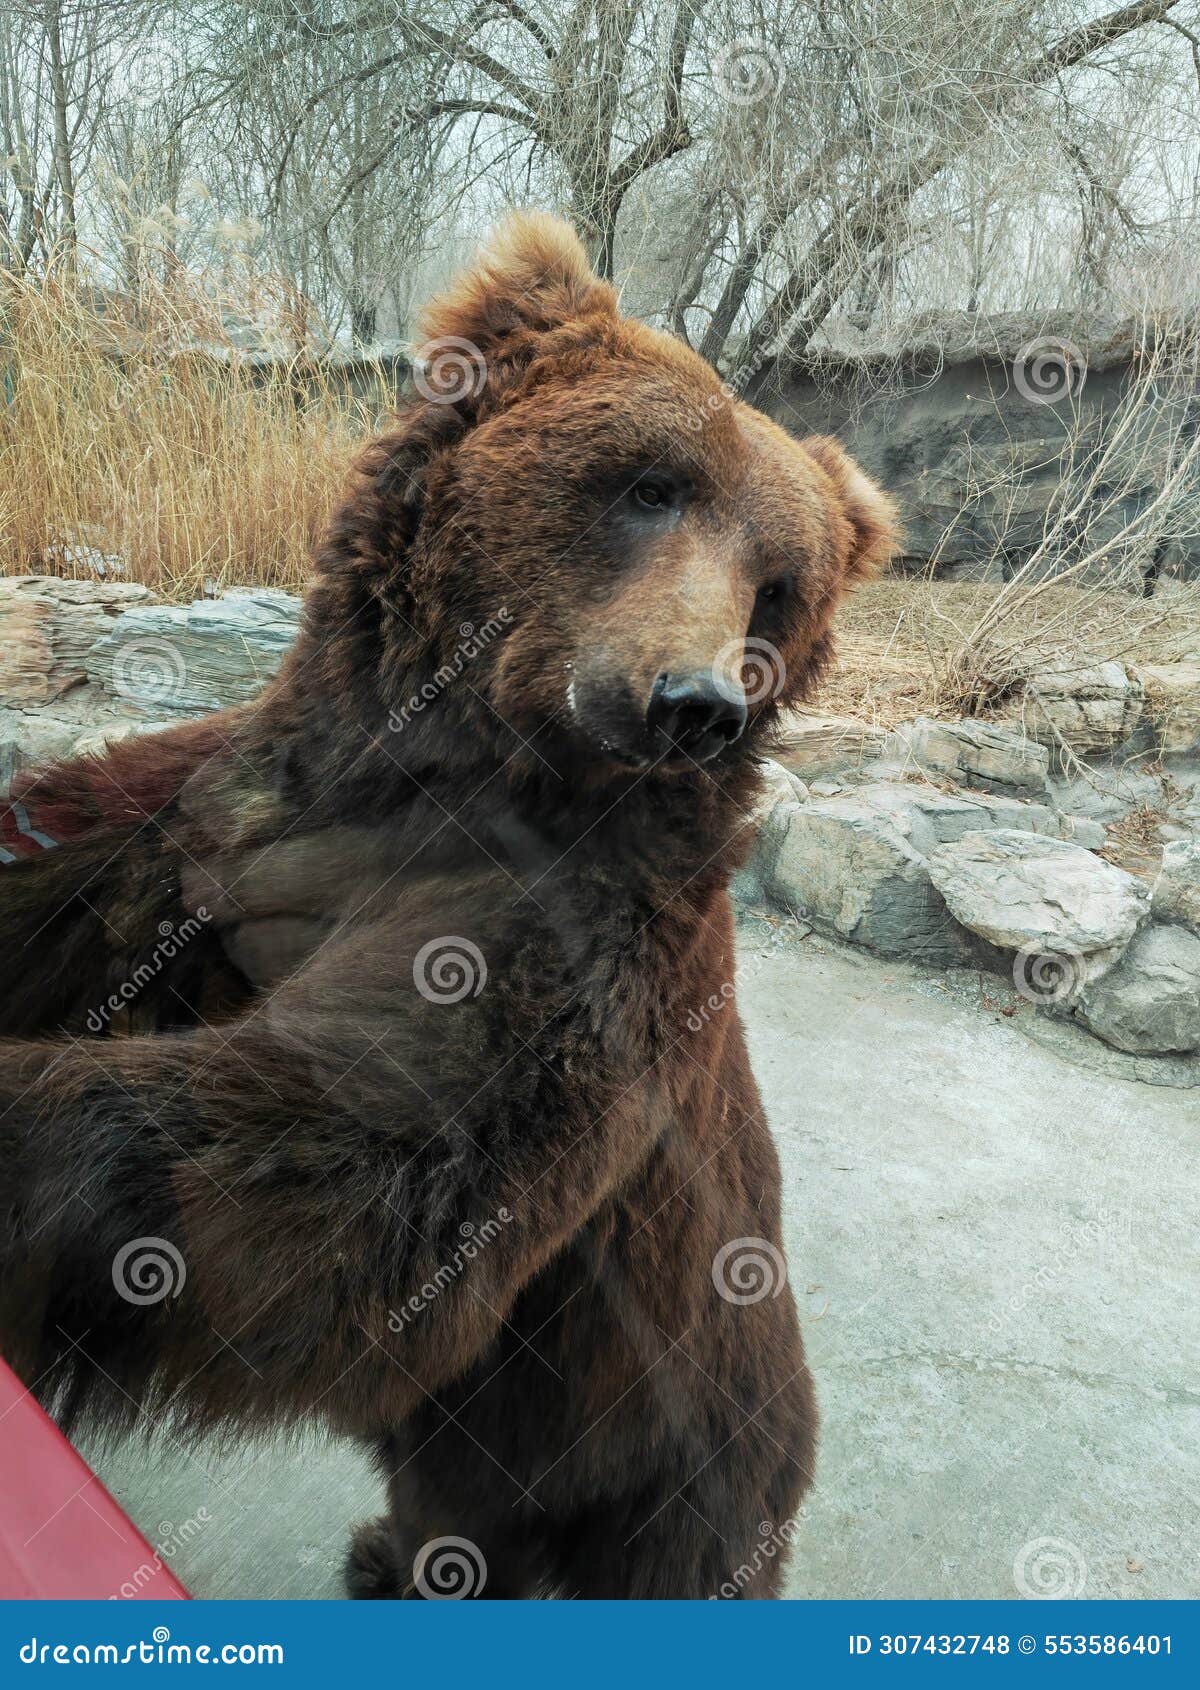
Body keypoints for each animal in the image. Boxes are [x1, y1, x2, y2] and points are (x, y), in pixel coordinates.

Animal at [0, 213, 897, 1599]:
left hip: (677, 1457)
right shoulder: (244, 812)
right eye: (650, 486)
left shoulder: (567, 939)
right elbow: (76, 874)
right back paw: (393, 1558)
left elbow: (334, 1150)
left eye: (779, 583)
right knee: (450, 1521)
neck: (451, 769)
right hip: (481, 1453)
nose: (696, 701)